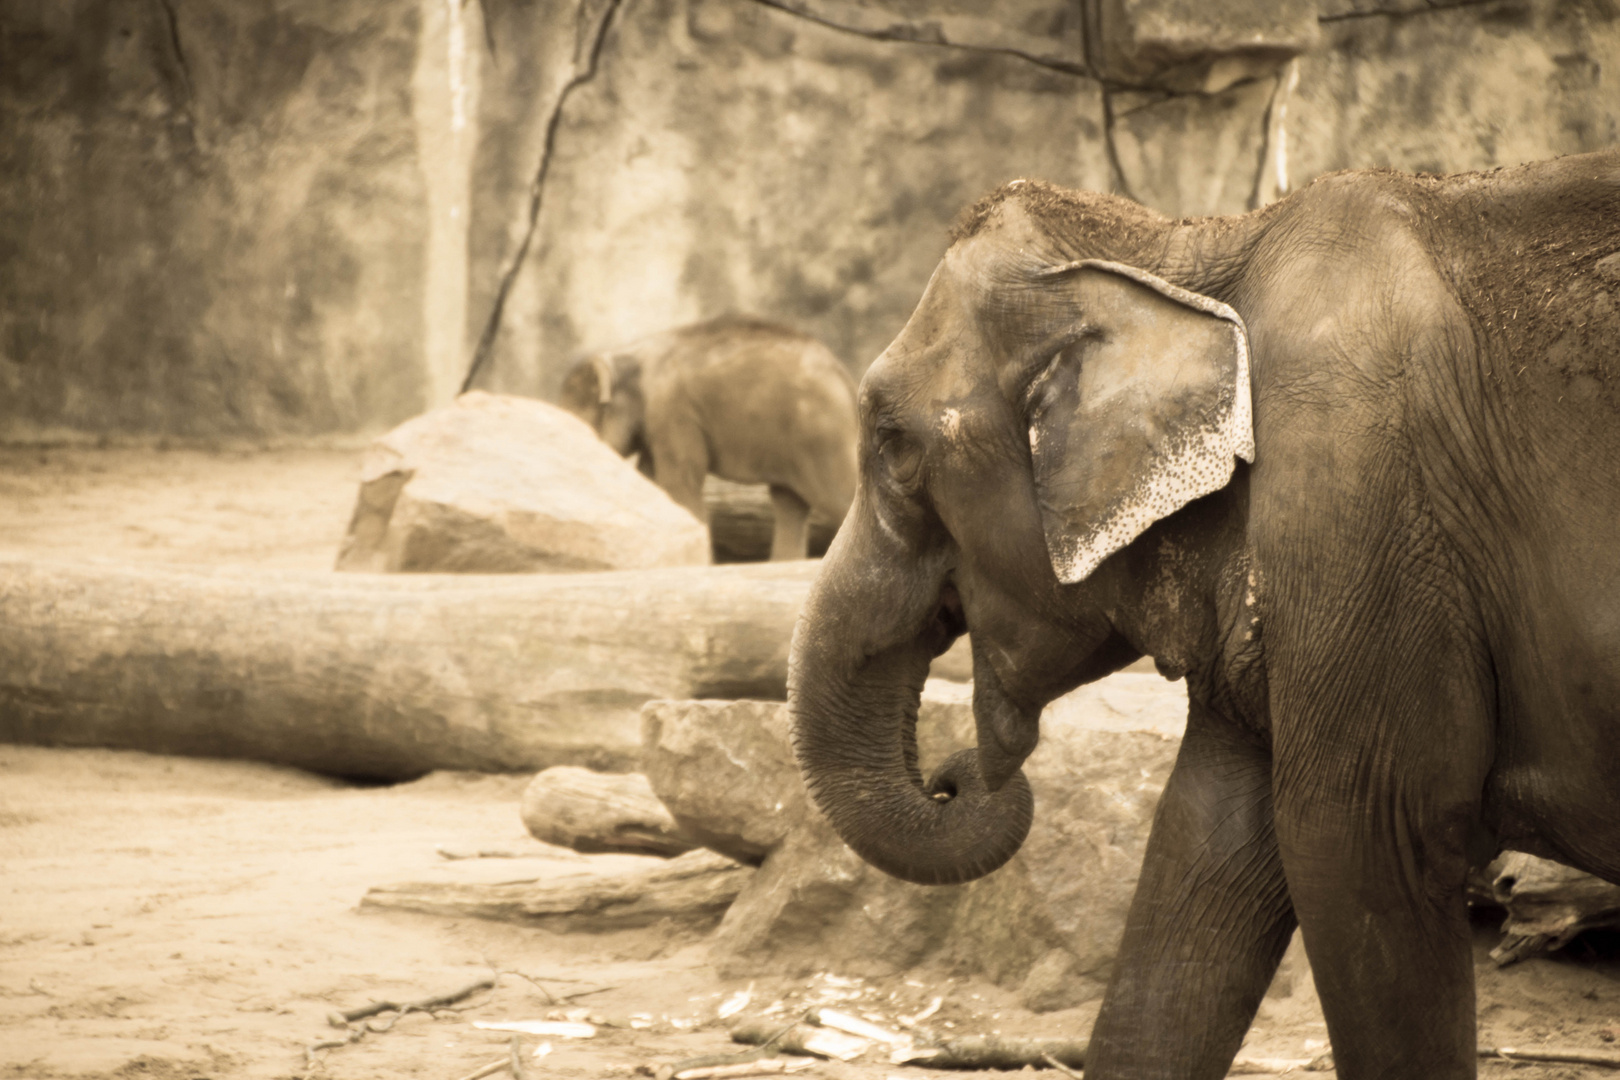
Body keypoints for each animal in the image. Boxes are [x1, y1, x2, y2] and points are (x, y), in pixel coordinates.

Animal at [558, 315, 859, 560]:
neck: (625, 353)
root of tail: (846, 376)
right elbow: (650, 479)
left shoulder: (673, 410)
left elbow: (678, 484)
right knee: (789, 504)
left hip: (820, 434)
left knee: (839, 495)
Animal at [787, 148, 1620, 1079]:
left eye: (894, 448)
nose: (947, 777)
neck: (1202, 250)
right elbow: (1205, 844)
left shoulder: (1360, 516)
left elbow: (1361, 844)